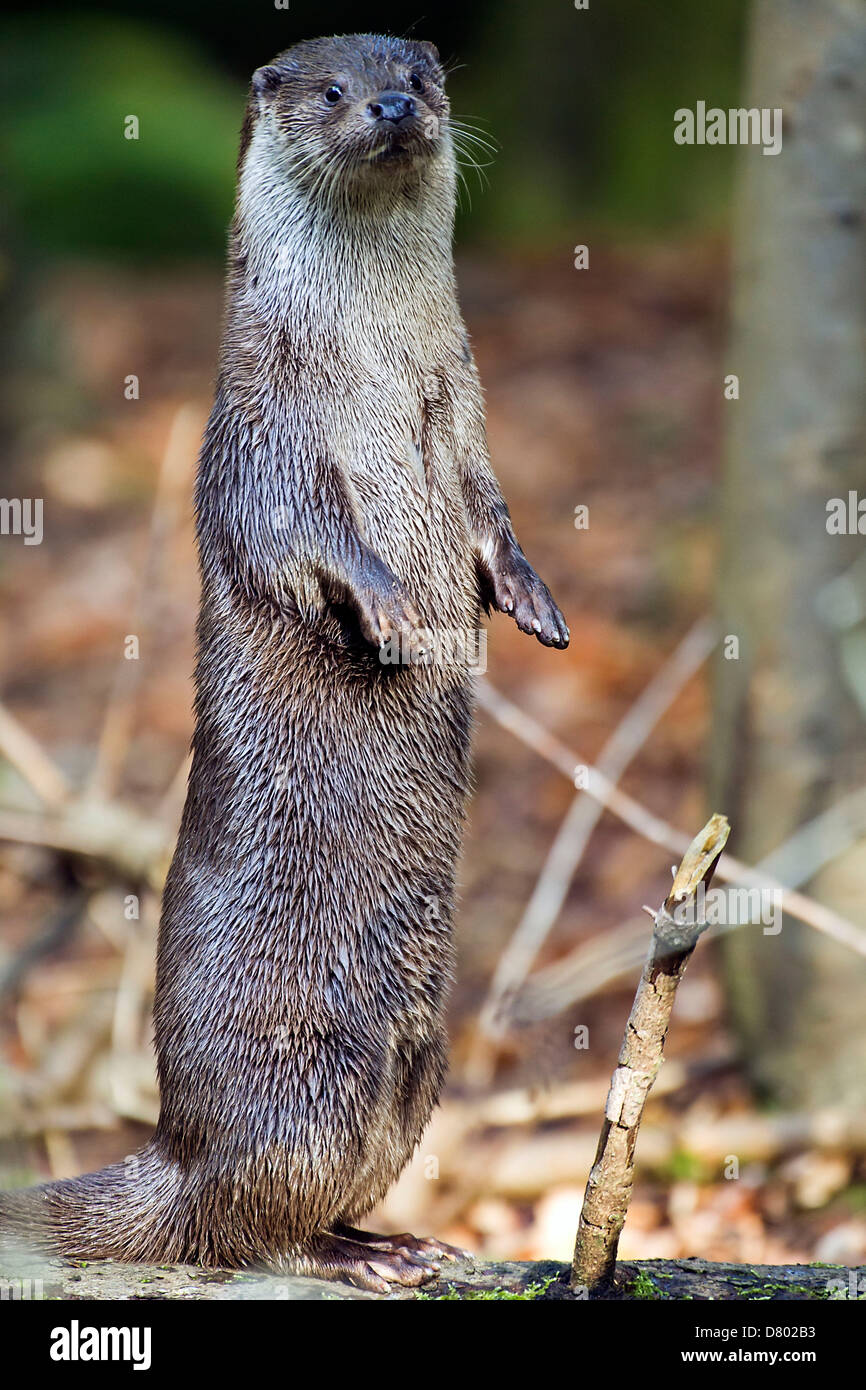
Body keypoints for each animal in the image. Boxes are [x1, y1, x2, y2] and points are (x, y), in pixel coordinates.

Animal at [1, 33, 568, 1292]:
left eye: (420, 72)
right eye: (330, 90)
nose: (395, 104)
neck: (376, 376)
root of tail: (172, 1150)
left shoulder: (468, 430)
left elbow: (492, 516)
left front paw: (532, 601)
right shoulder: (267, 443)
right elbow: (309, 541)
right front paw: (396, 615)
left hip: (415, 1069)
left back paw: (393, 1237)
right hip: (311, 1073)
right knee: (246, 1222)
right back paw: (351, 1253)